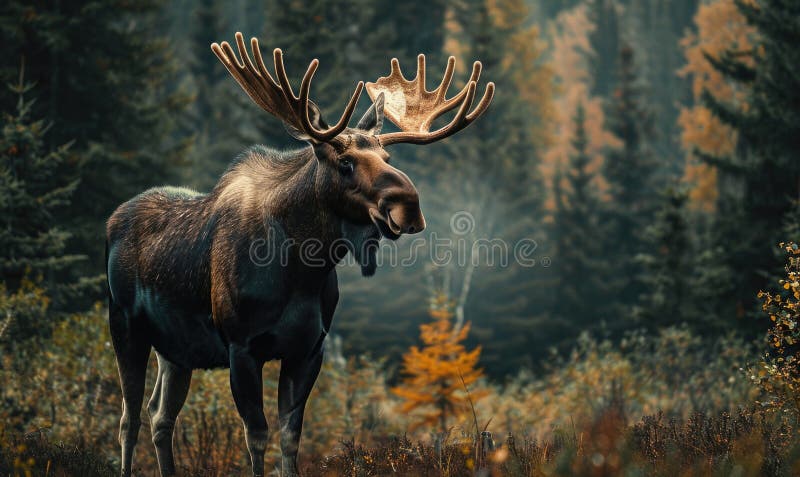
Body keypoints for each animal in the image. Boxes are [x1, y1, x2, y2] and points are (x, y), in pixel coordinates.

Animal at [105, 32, 493, 477]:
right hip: (125, 326)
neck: (301, 269)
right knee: (129, 417)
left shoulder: (309, 348)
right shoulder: (241, 346)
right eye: (345, 162)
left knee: (160, 416)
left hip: (177, 349)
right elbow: (256, 435)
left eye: (388, 158)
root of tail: (112, 220)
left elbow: (291, 436)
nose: (408, 204)